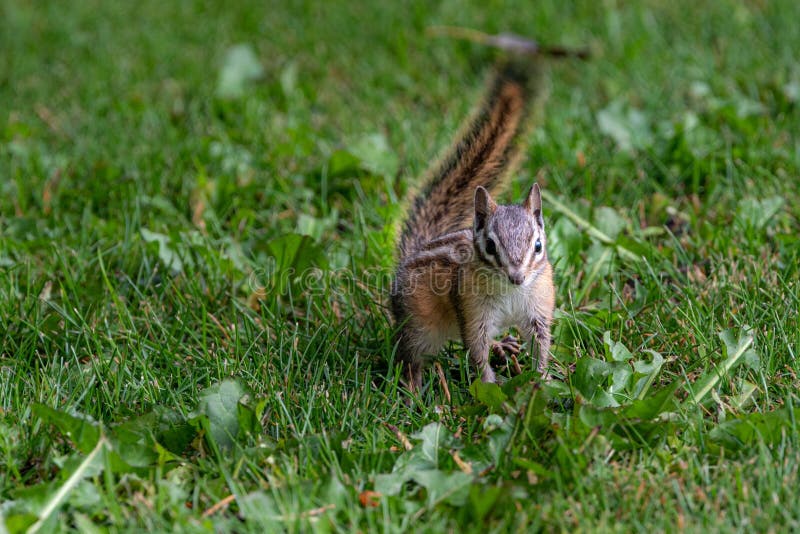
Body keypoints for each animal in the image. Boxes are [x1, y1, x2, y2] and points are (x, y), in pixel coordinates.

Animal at [390, 59, 555, 394]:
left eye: (538, 245)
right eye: (490, 246)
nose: (517, 277)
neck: (510, 292)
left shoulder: (539, 310)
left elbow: (541, 344)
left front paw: (543, 380)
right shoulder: (473, 310)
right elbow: (476, 350)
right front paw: (491, 389)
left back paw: (504, 346)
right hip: (419, 325)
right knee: (410, 355)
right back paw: (412, 390)